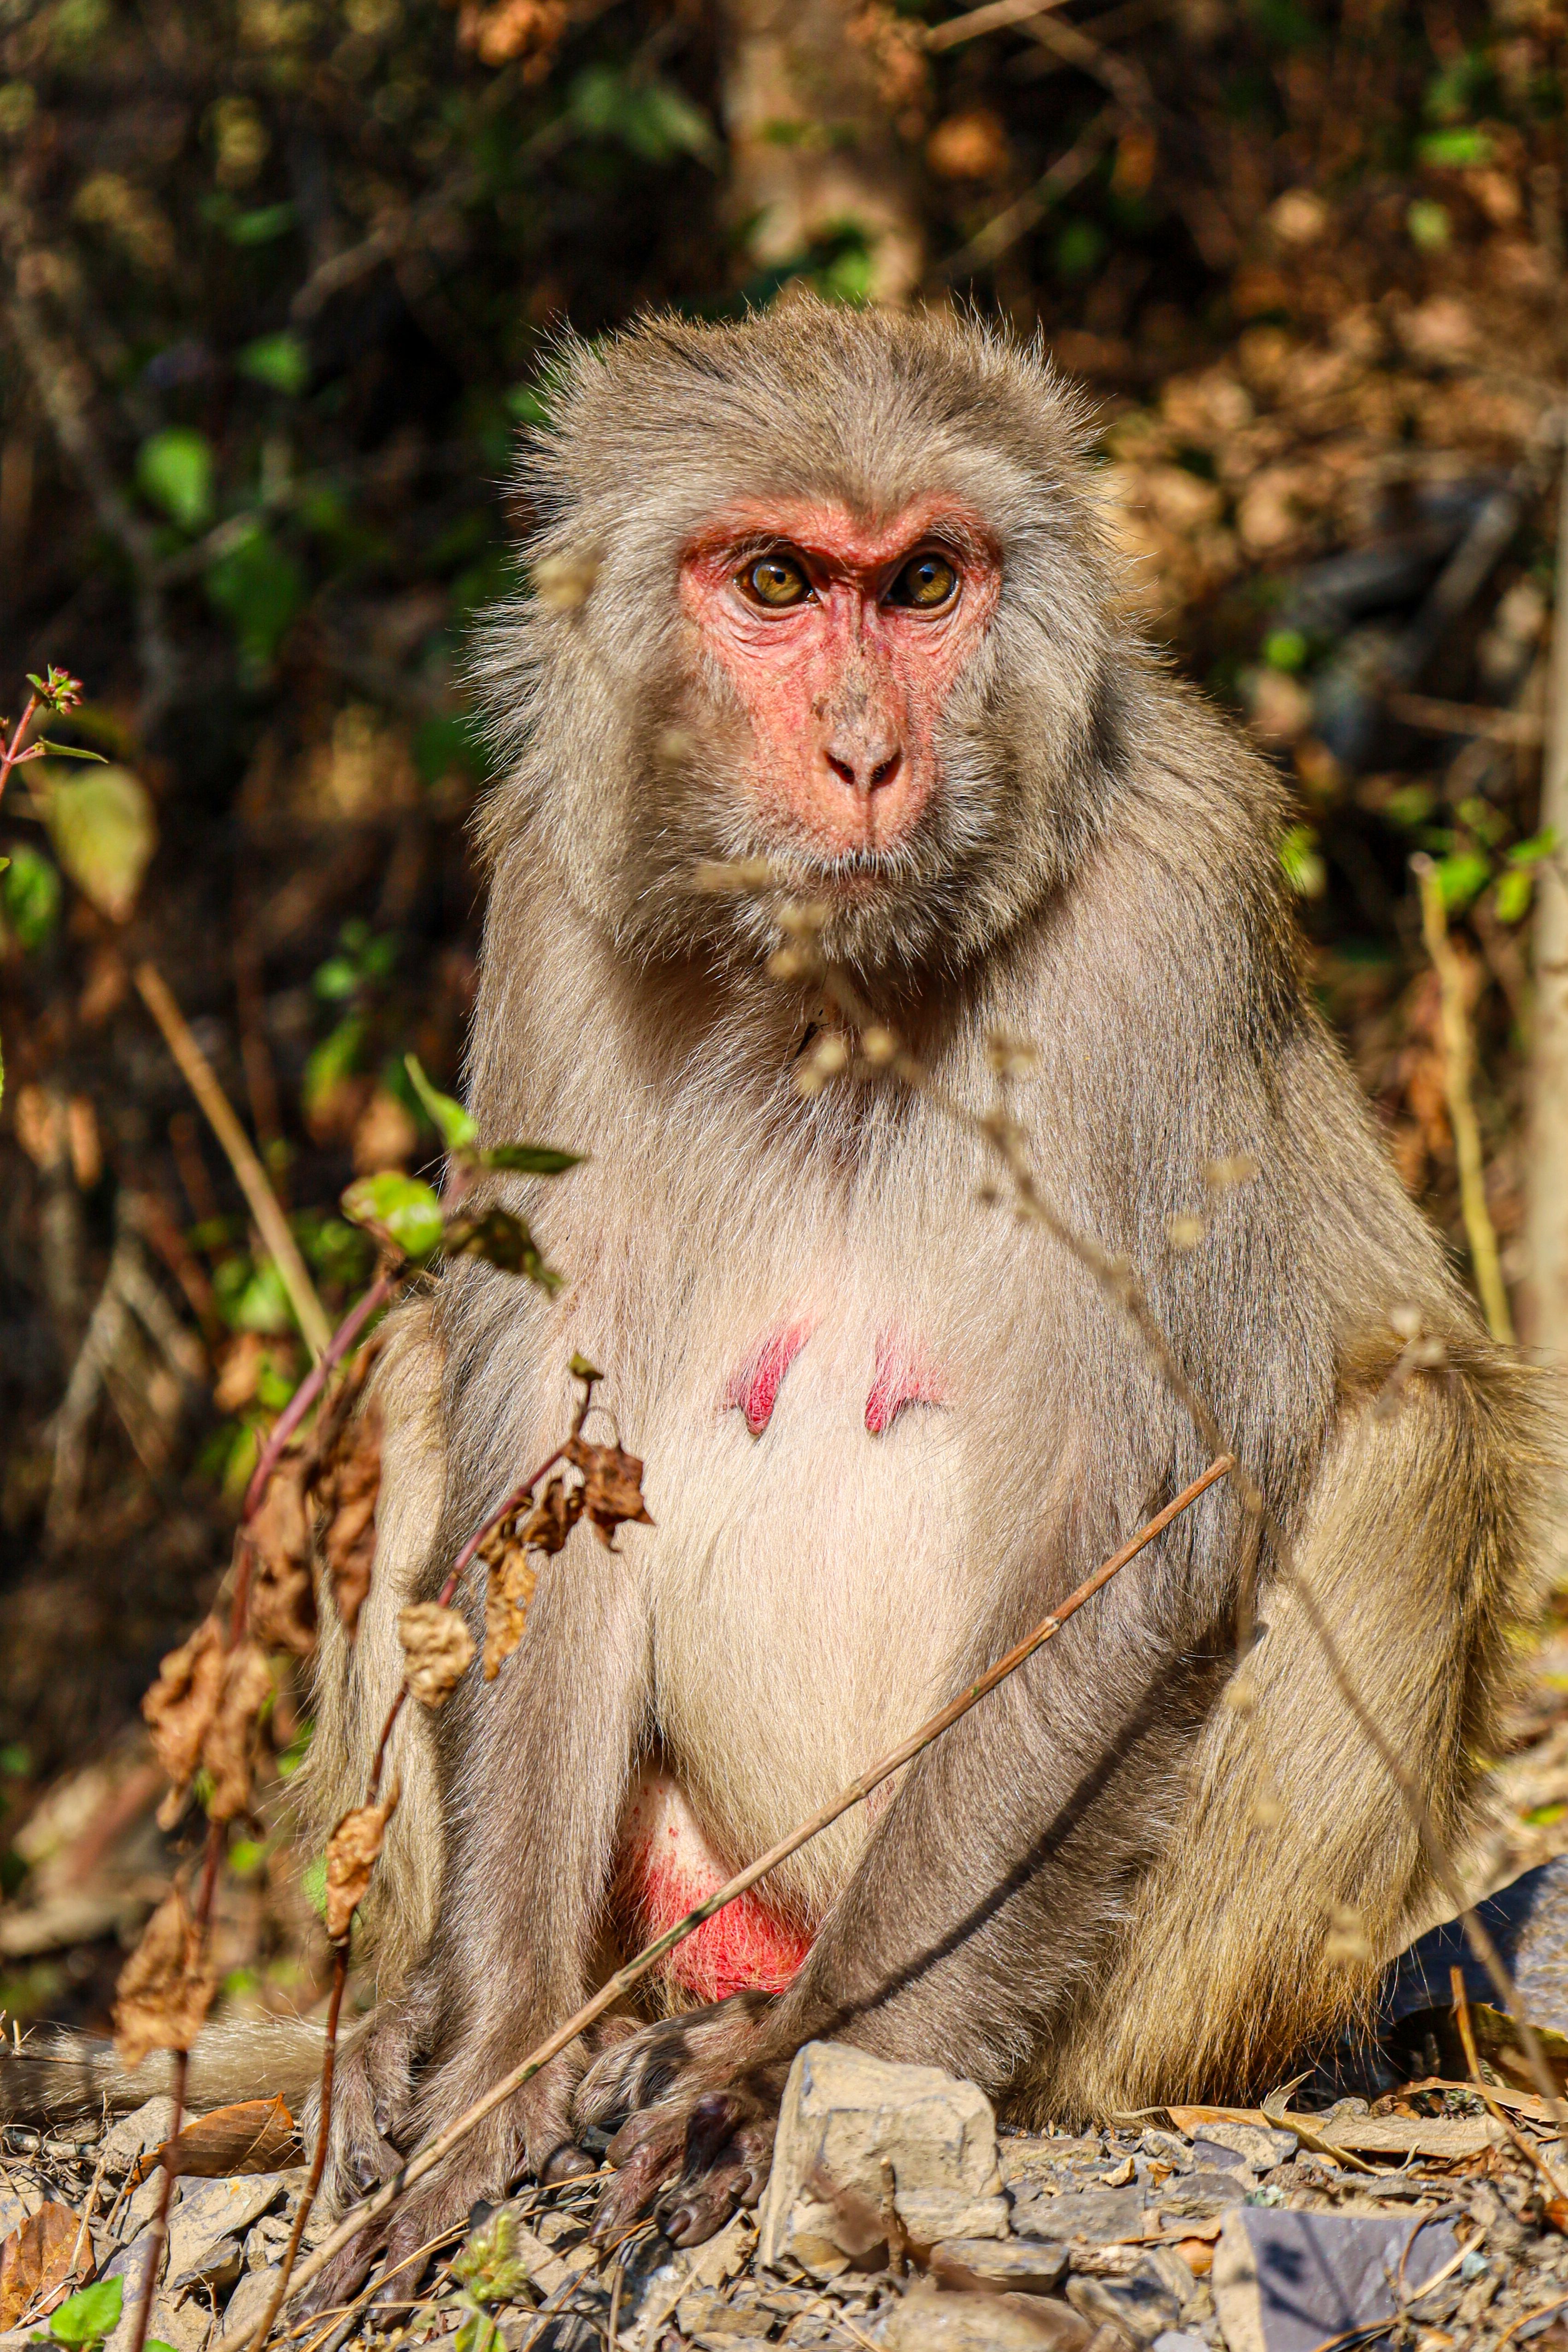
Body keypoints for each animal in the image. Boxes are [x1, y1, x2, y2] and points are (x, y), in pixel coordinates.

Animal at [4, 299, 1546, 2301]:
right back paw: (471, 2030)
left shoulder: (1170, 910)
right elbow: (544, 1449)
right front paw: (497, 2062)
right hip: (682, 1893)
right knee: (415, 1367)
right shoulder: (553, 910)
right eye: (773, 581)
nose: (864, 753)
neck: (841, 984)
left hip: (1138, 1977)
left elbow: (1137, 1503)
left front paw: (793, 2073)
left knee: (1408, 1436)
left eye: (922, 585)